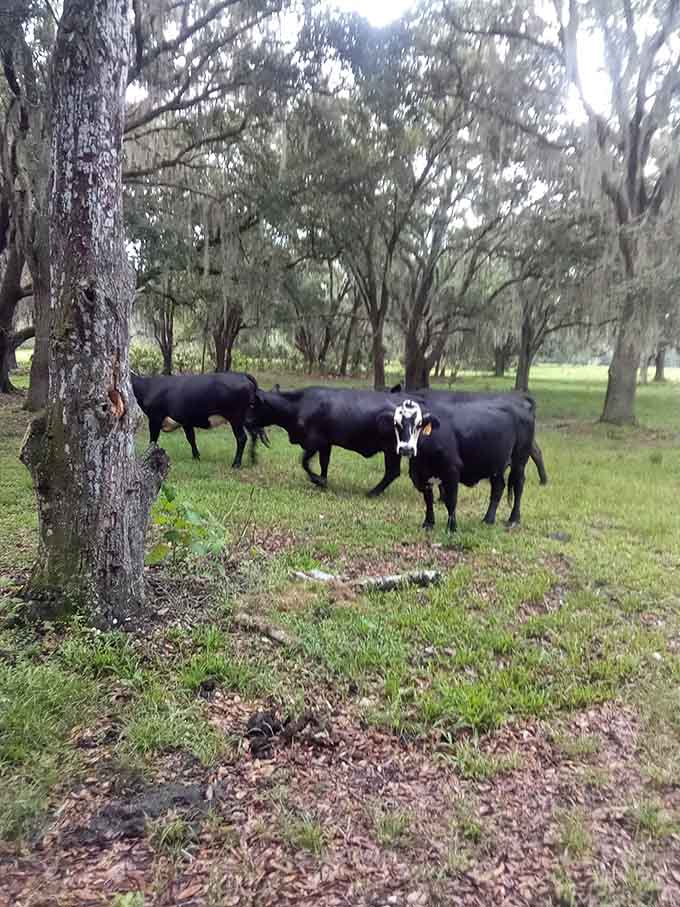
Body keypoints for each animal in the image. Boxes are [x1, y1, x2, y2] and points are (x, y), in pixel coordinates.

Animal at [131, 371, 268, 467]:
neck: (148, 387)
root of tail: (242, 375)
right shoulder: (185, 421)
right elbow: (191, 438)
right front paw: (196, 457)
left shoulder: (155, 418)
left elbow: (153, 441)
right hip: (247, 418)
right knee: (254, 434)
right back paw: (253, 460)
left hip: (235, 418)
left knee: (242, 438)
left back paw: (236, 464)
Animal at [249, 385, 423, 496]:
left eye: (252, 405)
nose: (247, 421)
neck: (298, 405)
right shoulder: (326, 444)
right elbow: (323, 463)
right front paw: (323, 482)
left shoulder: (314, 442)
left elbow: (304, 462)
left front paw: (317, 480)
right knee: (392, 472)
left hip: (391, 449)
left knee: (392, 472)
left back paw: (372, 493)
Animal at [390, 397, 537, 532]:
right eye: (396, 424)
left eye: (419, 424)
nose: (406, 449)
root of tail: (521, 402)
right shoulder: (422, 474)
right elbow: (428, 499)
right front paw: (428, 523)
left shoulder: (452, 470)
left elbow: (451, 501)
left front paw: (452, 527)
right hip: (496, 464)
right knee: (498, 487)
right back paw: (488, 519)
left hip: (520, 460)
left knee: (518, 485)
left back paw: (513, 519)